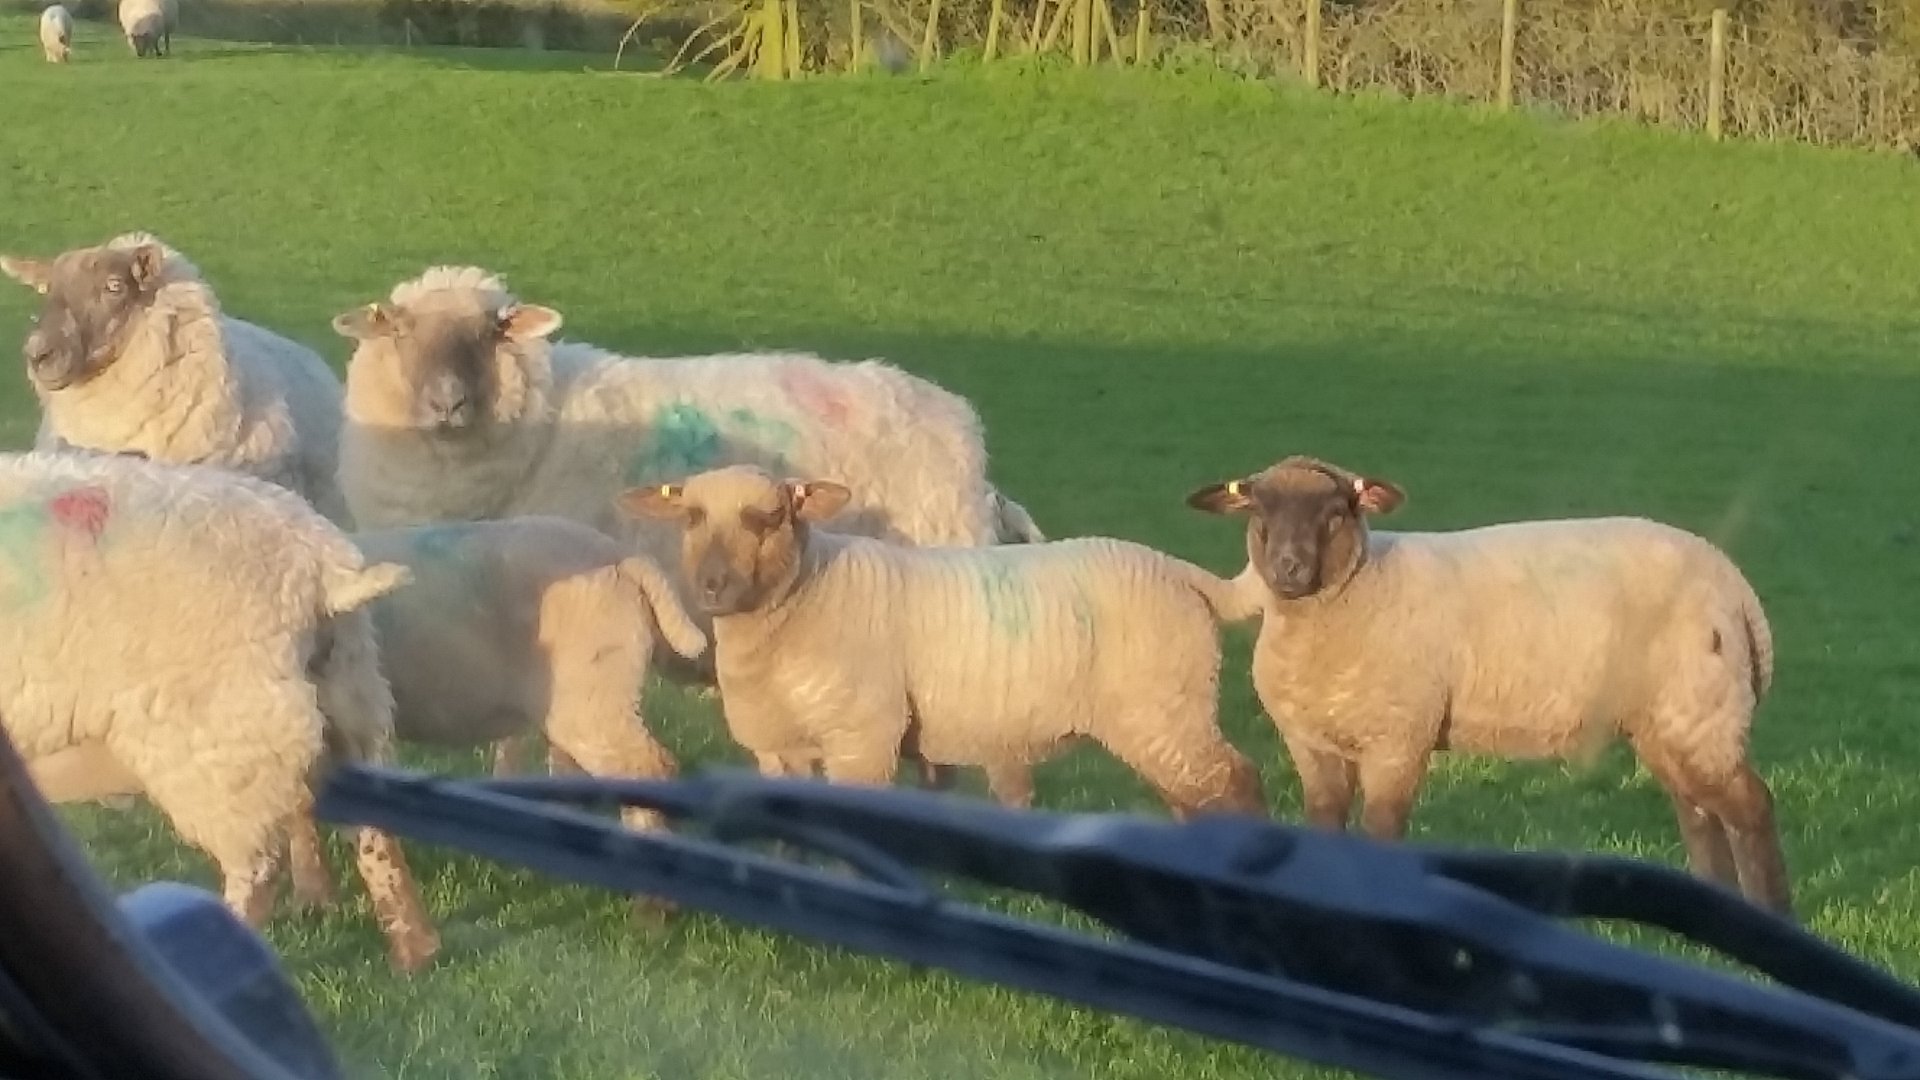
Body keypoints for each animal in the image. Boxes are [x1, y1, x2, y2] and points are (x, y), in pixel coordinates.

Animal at [0, 449, 441, 971]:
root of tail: (321, 564)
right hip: (350, 699)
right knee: (374, 830)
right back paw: (414, 950)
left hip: (218, 736)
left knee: (258, 866)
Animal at [616, 464, 1269, 819]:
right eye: (691, 516)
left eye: (770, 517)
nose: (712, 586)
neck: (804, 595)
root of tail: (1185, 573)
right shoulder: (778, 747)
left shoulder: (863, 738)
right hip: (1161, 720)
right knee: (1192, 797)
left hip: (1166, 709)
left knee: (1236, 783)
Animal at [1183, 453, 1792, 916]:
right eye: (1258, 511)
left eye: (1334, 515)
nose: (1287, 568)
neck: (1360, 586)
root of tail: (1734, 584)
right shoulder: (1312, 743)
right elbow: (1325, 824)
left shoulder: (1400, 738)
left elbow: (1382, 829)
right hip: (1671, 719)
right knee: (1699, 811)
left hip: (1702, 704)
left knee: (1750, 807)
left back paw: (1772, 913)